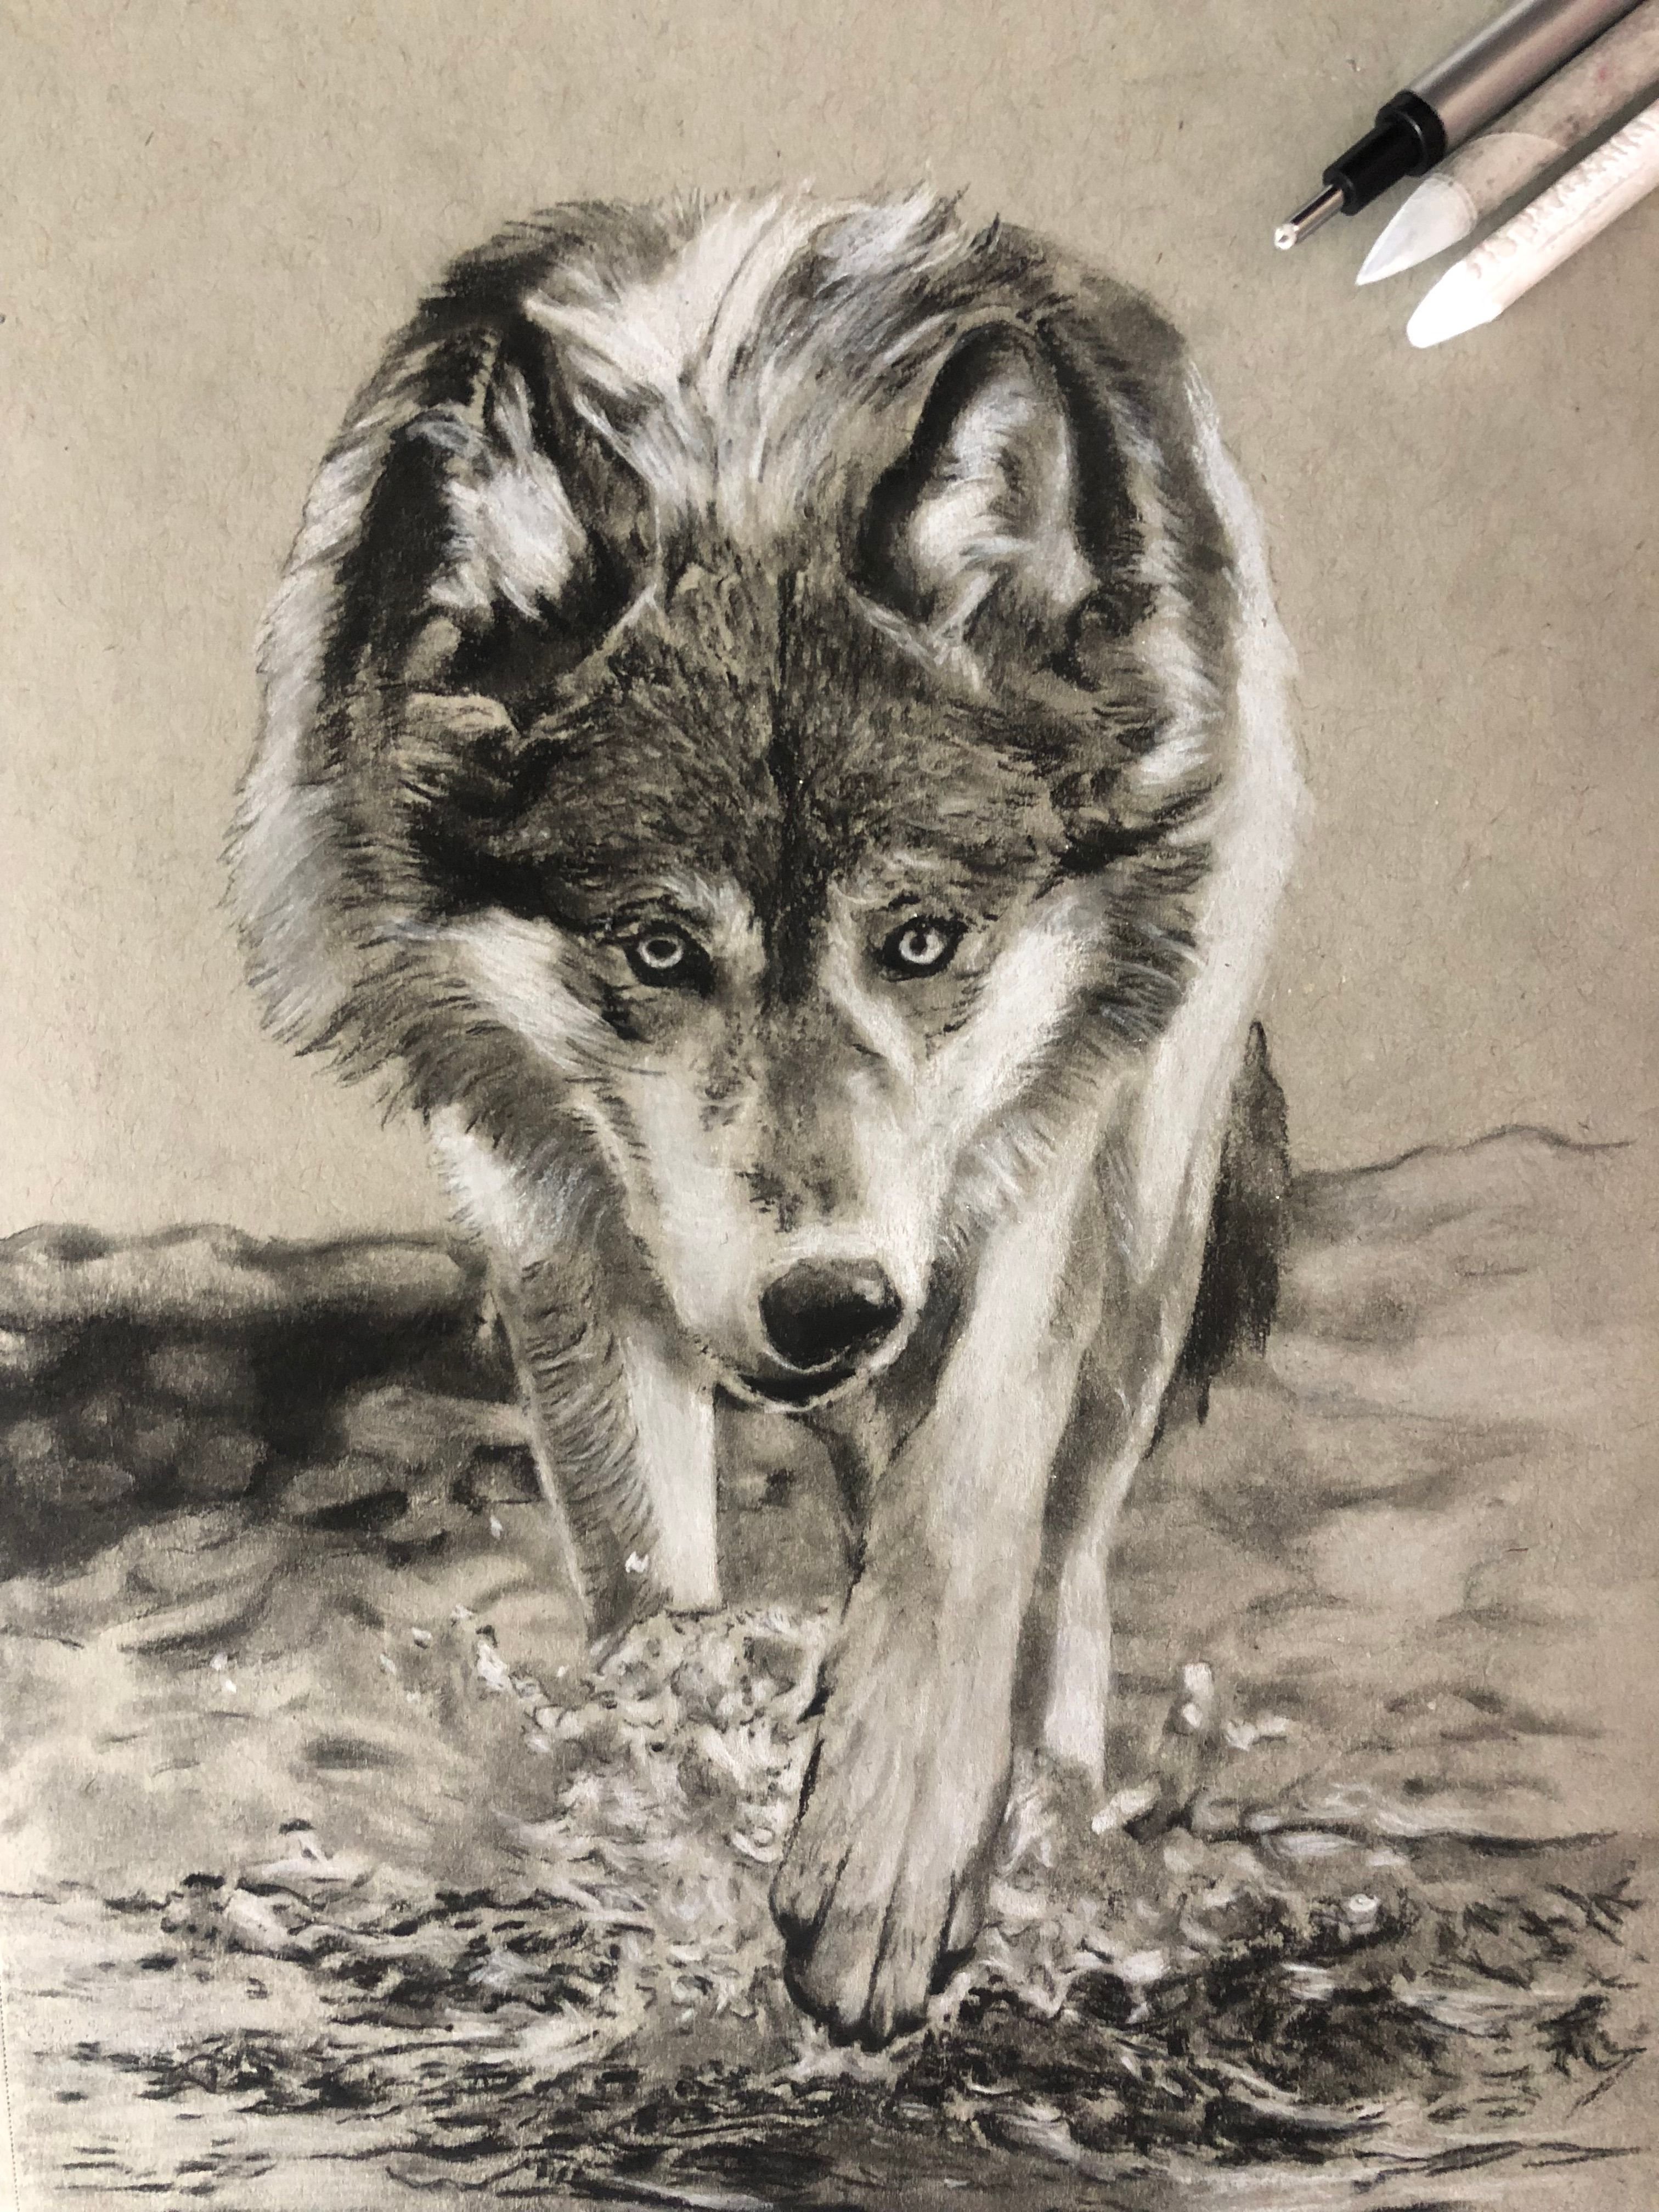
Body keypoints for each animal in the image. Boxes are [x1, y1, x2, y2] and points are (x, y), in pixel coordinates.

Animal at [229, 191, 1301, 2044]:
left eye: (922, 940)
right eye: (660, 949)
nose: (829, 1305)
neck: (748, 447)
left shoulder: (1036, 1156)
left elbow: (966, 1518)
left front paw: (893, 1851)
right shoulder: (554, 1216)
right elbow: (652, 1605)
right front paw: (676, 1830)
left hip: (1152, 1188)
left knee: (1066, 1550)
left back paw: (1054, 1812)